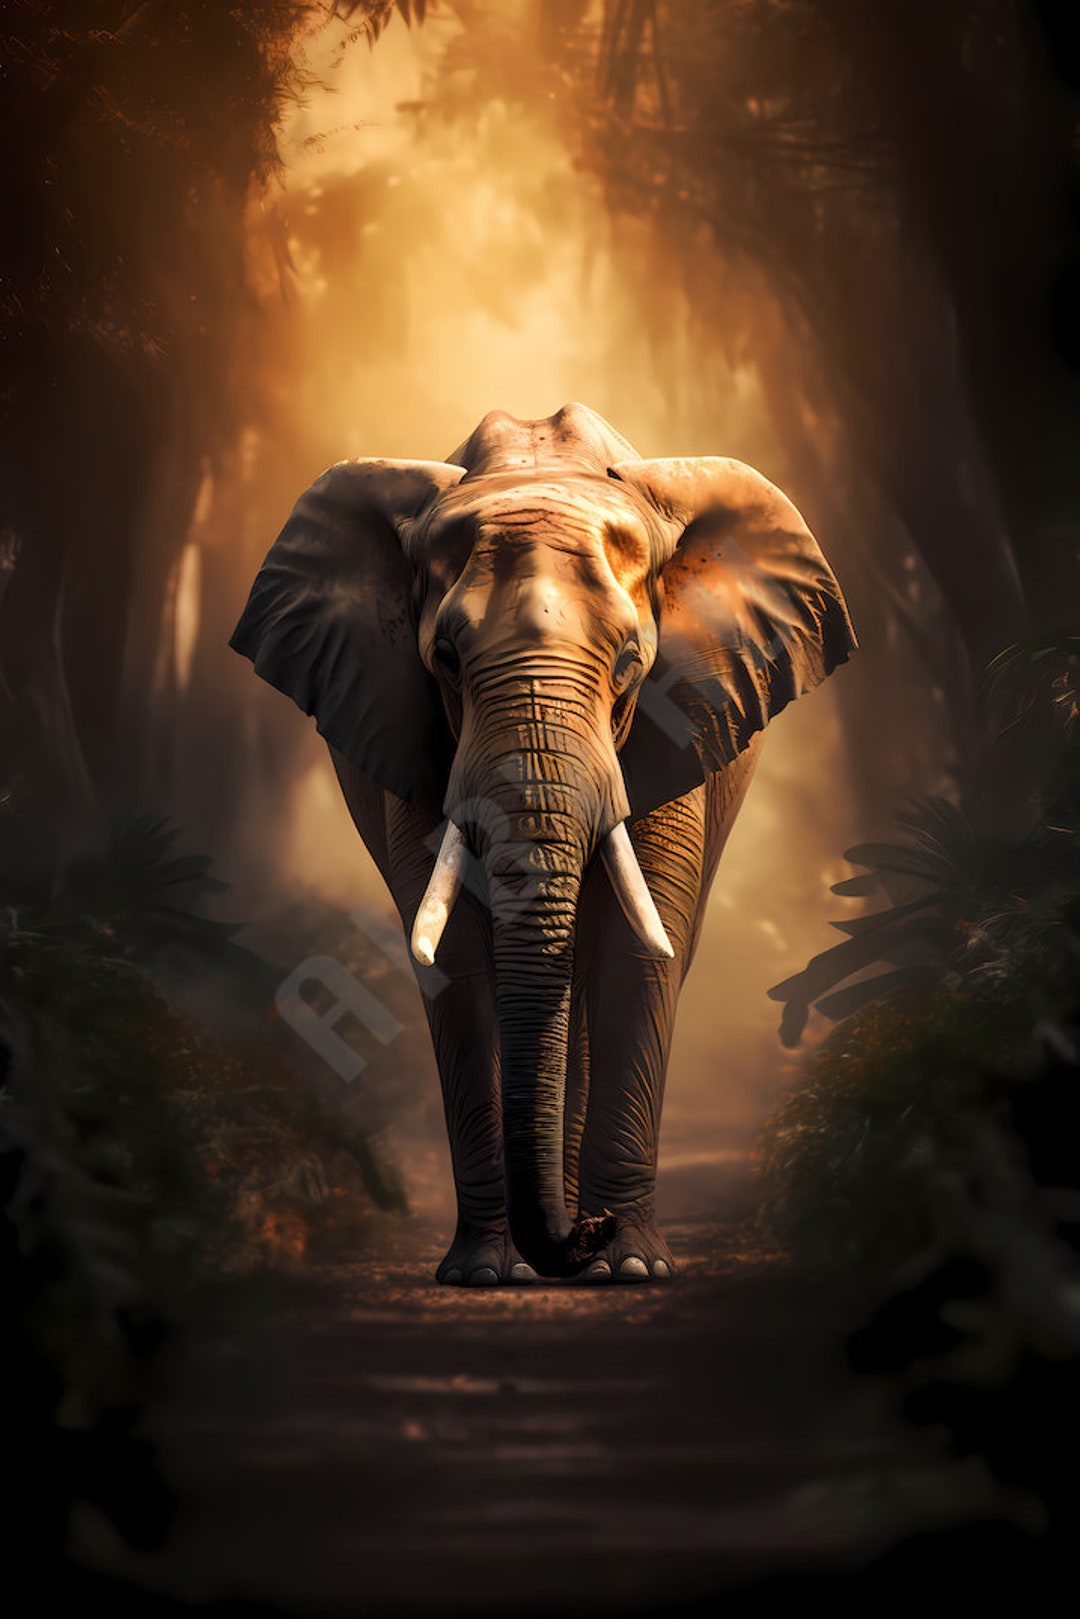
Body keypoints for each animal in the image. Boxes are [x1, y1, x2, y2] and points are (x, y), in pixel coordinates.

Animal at [231, 403, 855, 1284]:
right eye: (444, 660)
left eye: (631, 664)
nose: (585, 1231)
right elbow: (458, 958)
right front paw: (482, 1273)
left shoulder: (675, 727)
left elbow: (634, 947)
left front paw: (631, 1268)